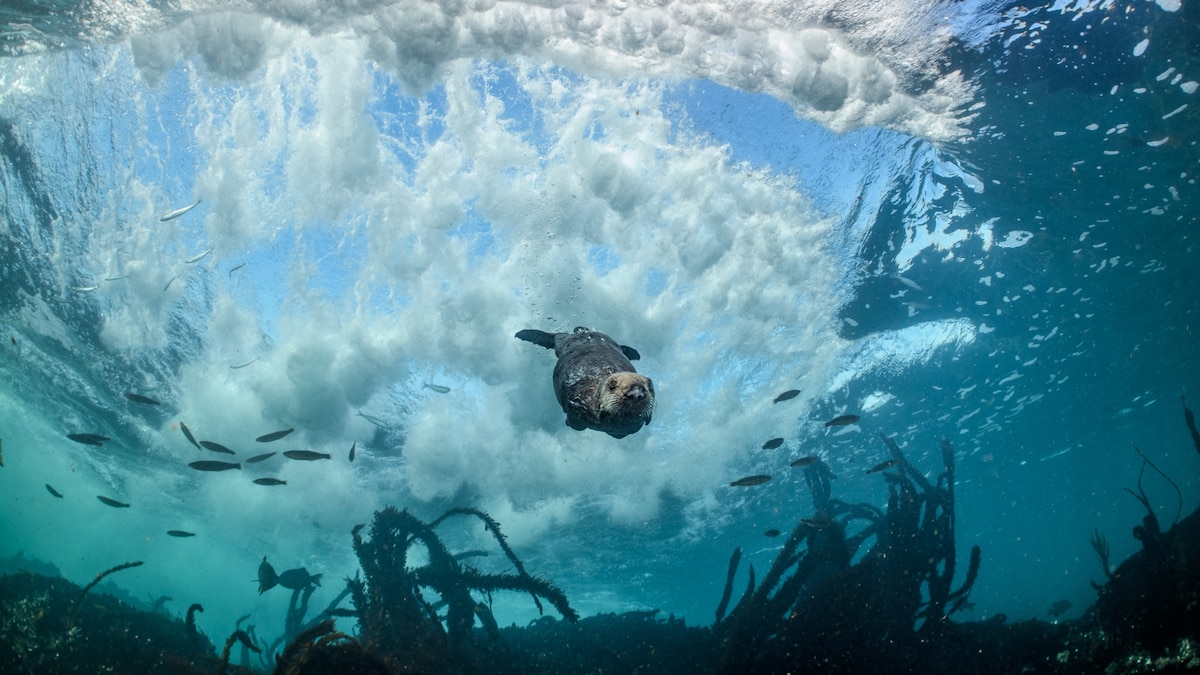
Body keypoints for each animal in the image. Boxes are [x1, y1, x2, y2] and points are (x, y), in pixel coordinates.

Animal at [516, 327, 655, 439]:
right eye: (612, 384)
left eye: (649, 385)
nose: (636, 393)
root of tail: (585, 331)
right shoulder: (576, 404)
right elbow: (575, 422)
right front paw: (568, 422)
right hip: (564, 341)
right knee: (559, 335)